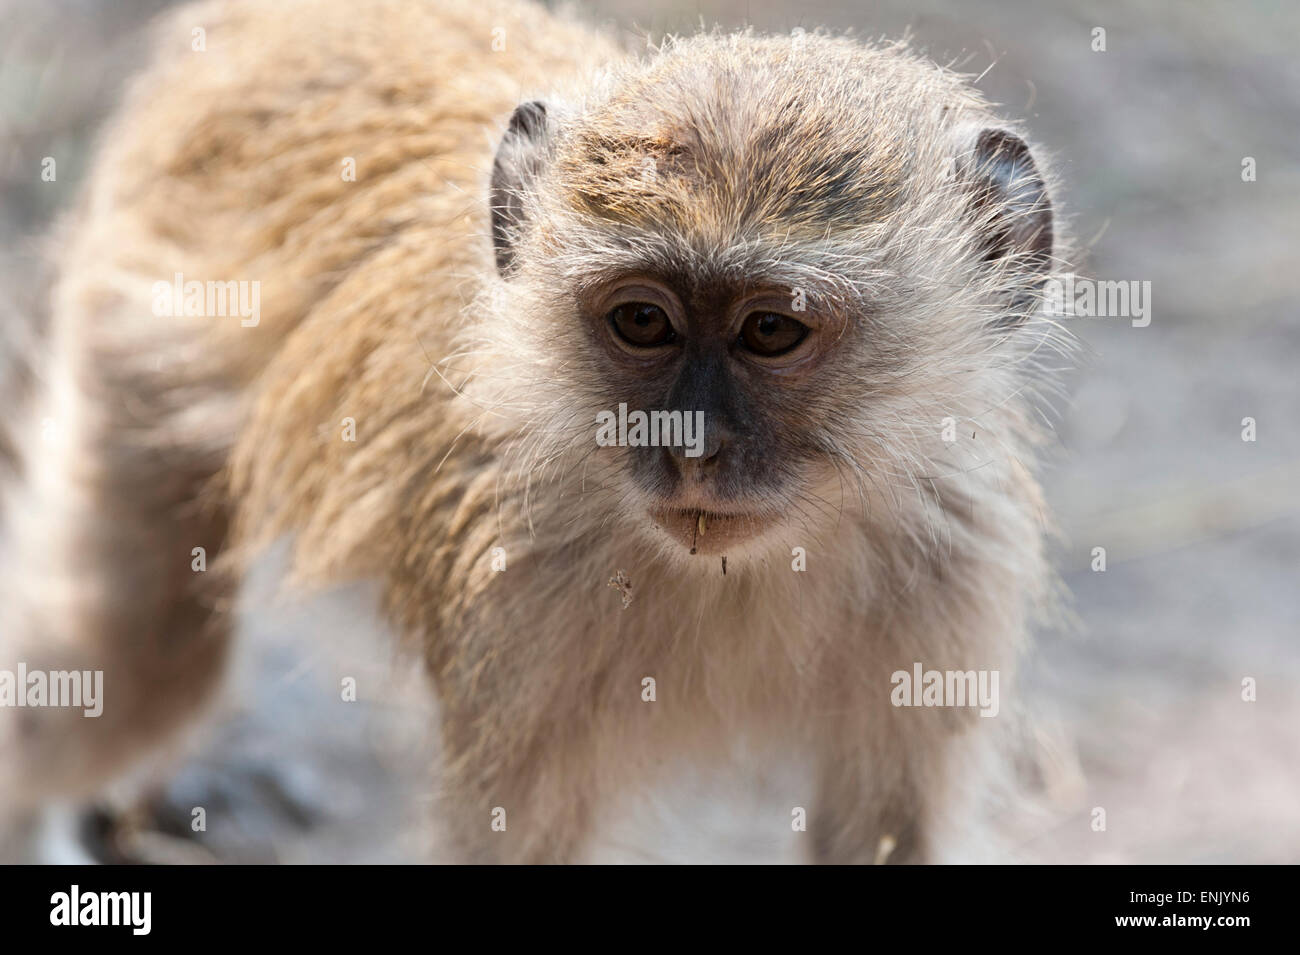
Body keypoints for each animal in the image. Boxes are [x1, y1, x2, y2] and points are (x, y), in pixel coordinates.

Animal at [0, 0, 1068, 863]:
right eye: (643, 321)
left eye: (771, 330)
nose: (694, 449)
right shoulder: (509, 592)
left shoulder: (955, 563)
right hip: (135, 339)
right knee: (135, 667)